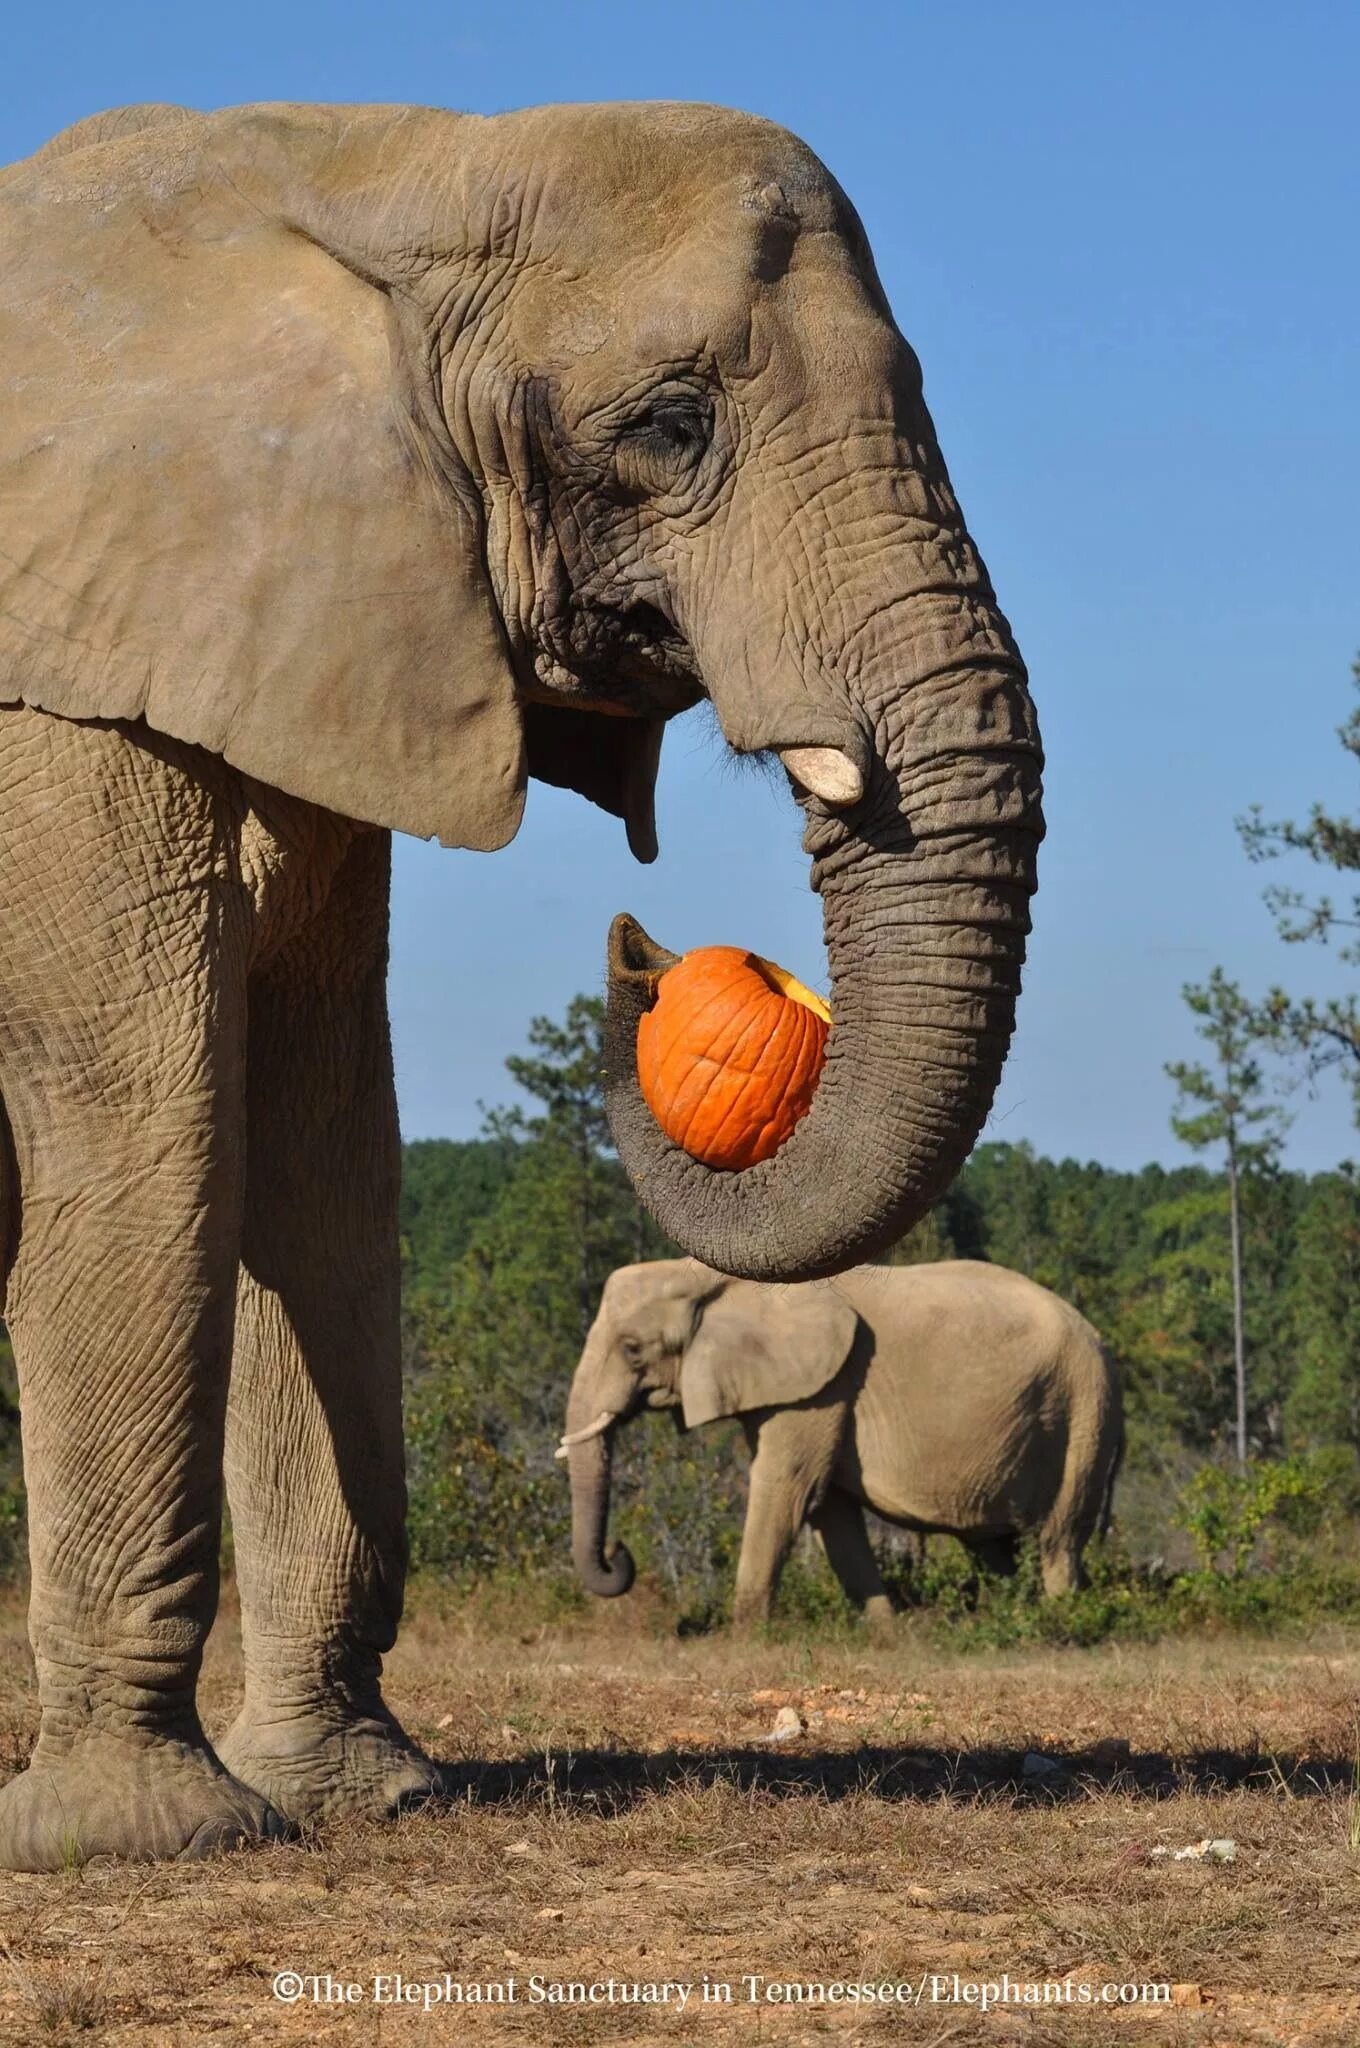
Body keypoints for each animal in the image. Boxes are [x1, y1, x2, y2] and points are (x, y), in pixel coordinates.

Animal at [0, 99, 1040, 1875]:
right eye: (674, 427)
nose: (640, 952)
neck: (386, 166)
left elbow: (323, 1157)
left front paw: (358, 1795)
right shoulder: (61, 699)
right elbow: (156, 1123)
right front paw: (144, 1840)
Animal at [557, 1253, 1122, 1622]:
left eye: (632, 1349)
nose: (619, 1551)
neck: (714, 1278)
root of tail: (1100, 1341)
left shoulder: (822, 1387)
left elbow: (785, 1491)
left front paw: (744, 1637)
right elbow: (831, 1511)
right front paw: (887, 1634)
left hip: (1085, 1413)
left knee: (1058, 1540)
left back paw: (1061, 1624)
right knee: (994, 1547)